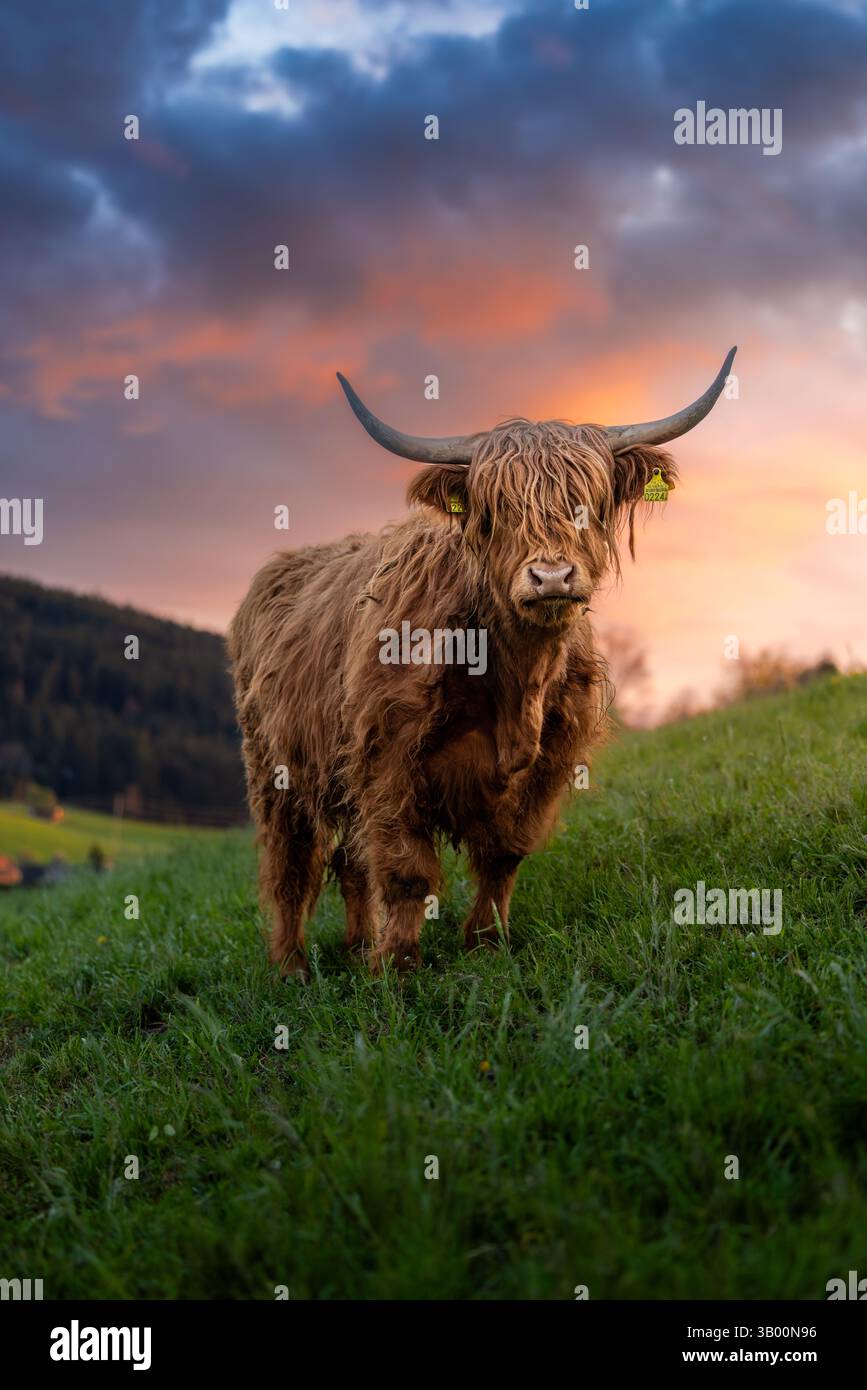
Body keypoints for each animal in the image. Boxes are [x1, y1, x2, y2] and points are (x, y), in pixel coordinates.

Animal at [227, 348, 736, 976]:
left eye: (587, 505)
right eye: (498, 510)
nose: (551, 577)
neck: (517, 680)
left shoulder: (551, 762)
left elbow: (504, 854)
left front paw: (486, 943)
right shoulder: (387, 757)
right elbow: (405, 870)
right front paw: (396, 968)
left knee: (349, 864)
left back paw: (356, 945)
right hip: (273, 769)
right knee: (291, 868)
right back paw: (292, 966)